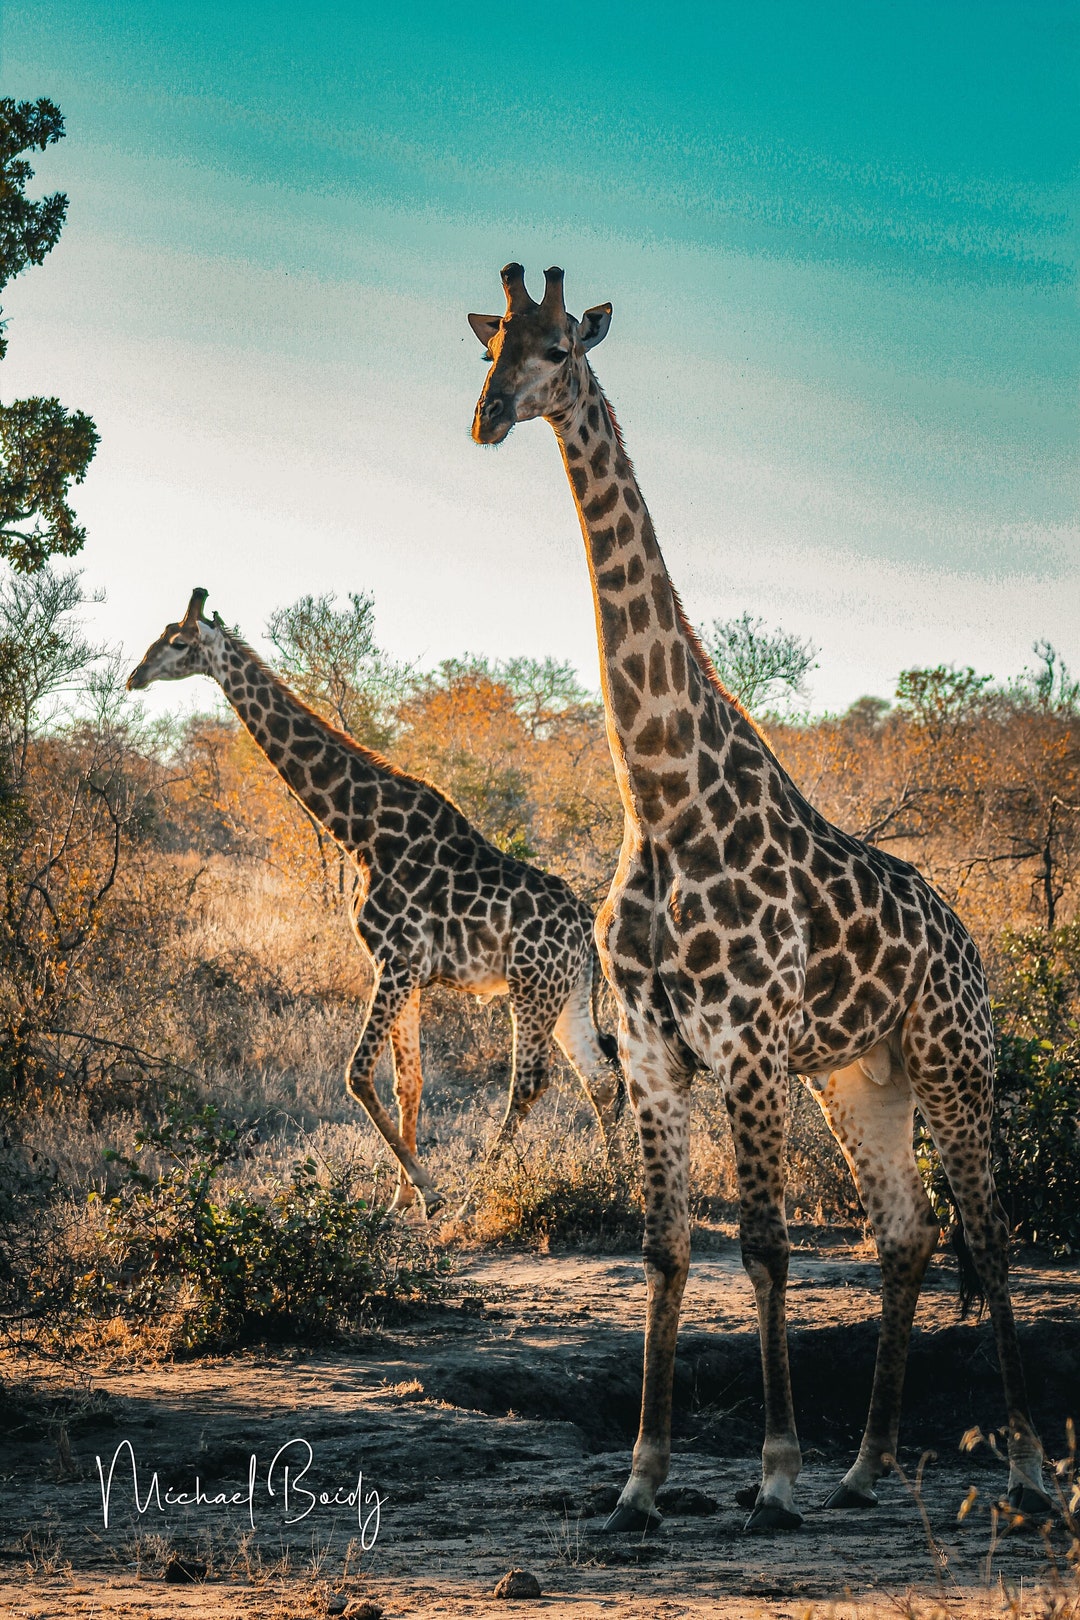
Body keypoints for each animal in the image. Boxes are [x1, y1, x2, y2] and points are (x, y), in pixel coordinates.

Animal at [127, 589, 623, 1218]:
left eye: (178, 642)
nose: (135, 677)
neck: (360, 831)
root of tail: (585, 928)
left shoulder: (398, 960)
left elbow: (357, 1076)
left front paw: (429, 1192)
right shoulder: (400, 969)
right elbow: (406, 1081)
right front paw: (397, 1202)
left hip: (532, 988)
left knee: (532, 1082)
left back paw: (474, 1200)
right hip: (566, 991)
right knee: (599, 1077)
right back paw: (619, 1182)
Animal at [468, 264, 1049, 1533]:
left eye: (558, 349)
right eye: (489, 349)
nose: (487, 417)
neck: (660, 798)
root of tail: (970, 944)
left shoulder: (746, 1048)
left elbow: (769, 1249)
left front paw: (774, 1474)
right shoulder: (652, 1051)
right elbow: (667, 1251)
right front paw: (640, 1482)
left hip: (952, 1058)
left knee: (987, 1233)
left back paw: (1028, 1467)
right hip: (861, 1077)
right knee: (906, 1232)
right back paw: (867, 1465)